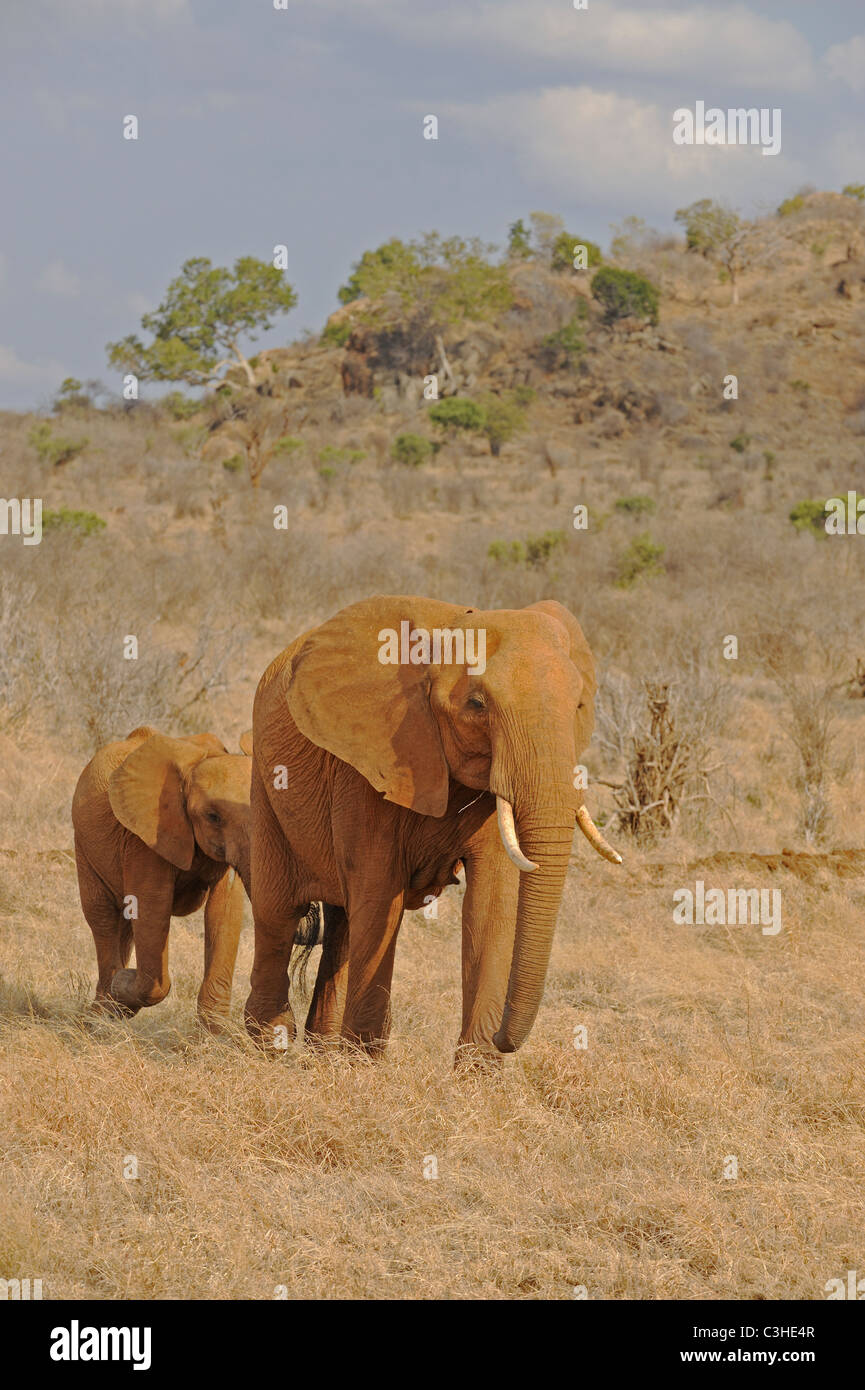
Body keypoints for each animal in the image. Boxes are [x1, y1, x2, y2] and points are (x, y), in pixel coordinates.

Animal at [72, 725, 255, 1029]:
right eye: (213, 816)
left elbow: (225, 910)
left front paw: (218, 1034)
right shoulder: (144, 838)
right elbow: (151, 907)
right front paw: (123, 983)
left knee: (124, 923)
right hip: (84, 847)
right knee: (102, 916)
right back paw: (101, 1015)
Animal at [244, 594, 622, 1065]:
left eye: (579, 707)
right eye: (477, 705)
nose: (503, 1038)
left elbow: (492, 902)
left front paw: (476, 1073)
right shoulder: (369, 760)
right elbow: (379, 894)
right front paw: (364, 1066)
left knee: (343, 924)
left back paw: (322, 1051)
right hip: (266, 780)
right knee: (279, 913)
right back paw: (271, 1044)